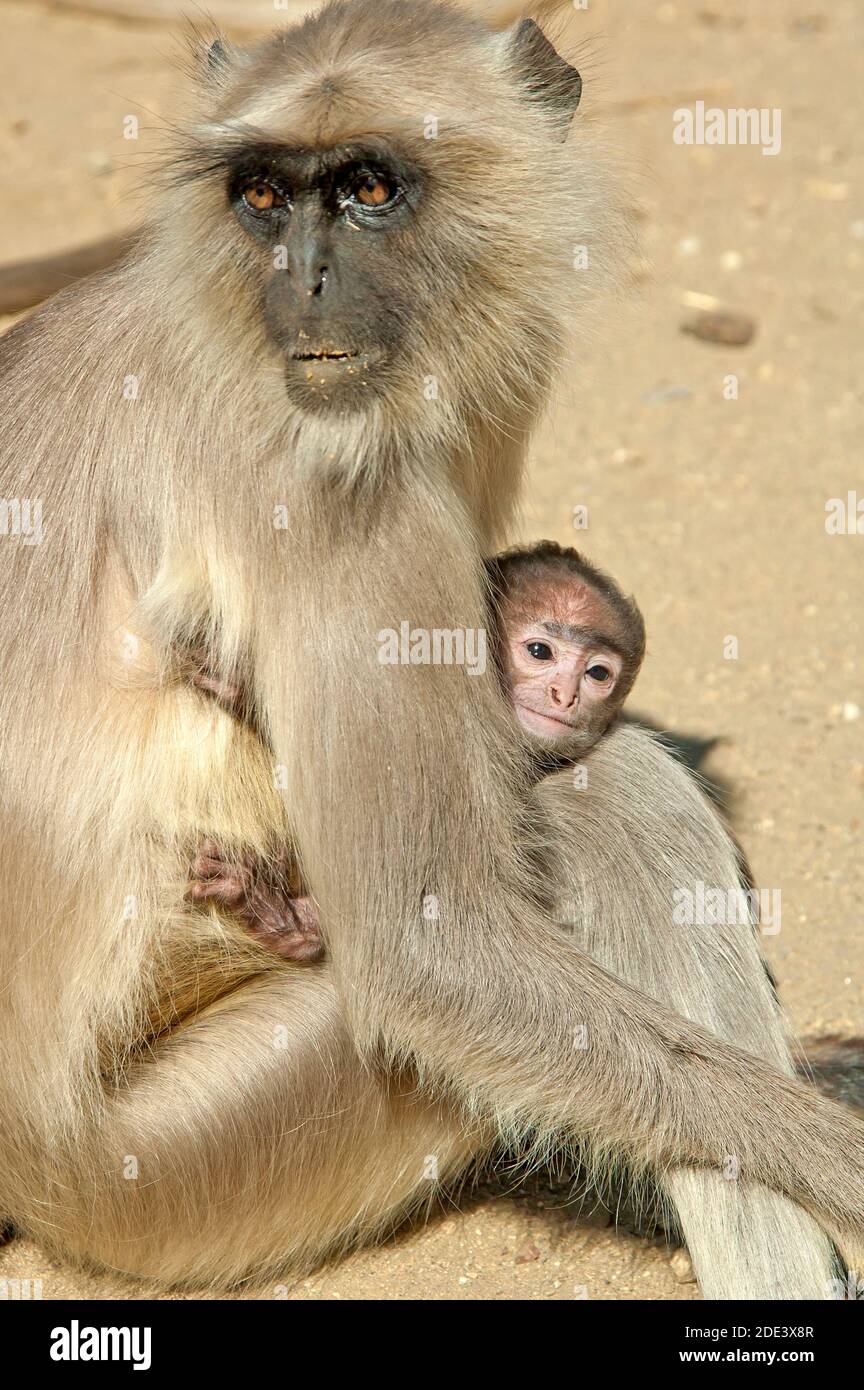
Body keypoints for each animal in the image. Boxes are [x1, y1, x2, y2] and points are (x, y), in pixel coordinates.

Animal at [0, 1, 862, 1298]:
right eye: (264, 196)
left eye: (366, 189)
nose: (302, 279)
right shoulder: (332, 487)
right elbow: (425, 951)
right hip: (174, 1161)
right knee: (614, 803)